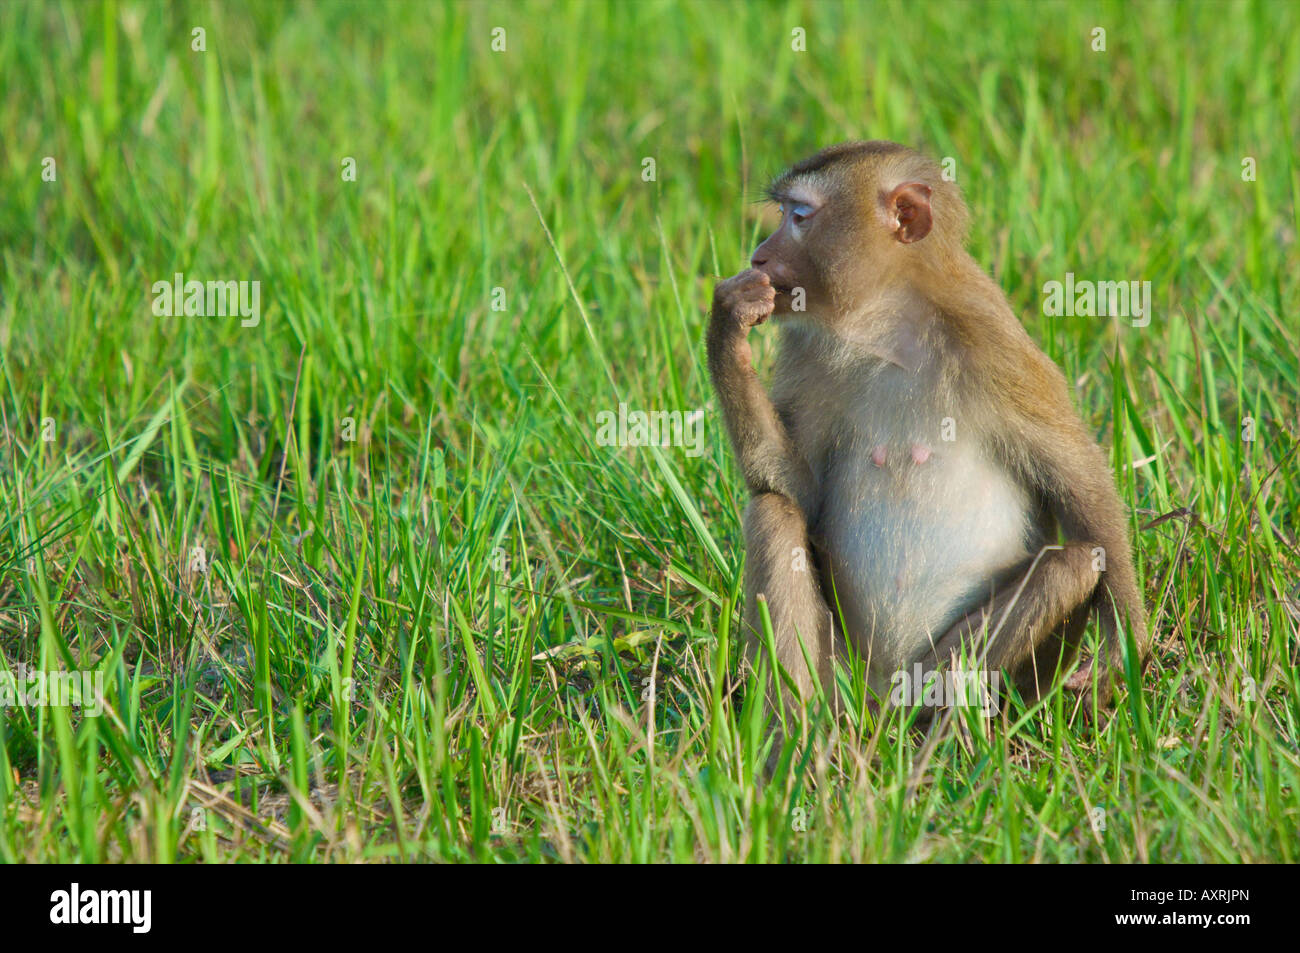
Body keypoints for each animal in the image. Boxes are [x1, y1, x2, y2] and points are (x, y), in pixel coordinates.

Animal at [706, 140, 1148, 720]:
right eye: (781, 214)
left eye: (798, 216)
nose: (758, 256)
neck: (890, 327)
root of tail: (880, 695)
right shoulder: (807, 352)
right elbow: (798, 492)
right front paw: (728, 324)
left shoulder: (993, 342)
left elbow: (1079, 480)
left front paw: (1125, 646)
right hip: (843, 669)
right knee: (773, 513)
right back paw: (801, 731)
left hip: (938, 672)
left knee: (1073, 565)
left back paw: (944, 725)